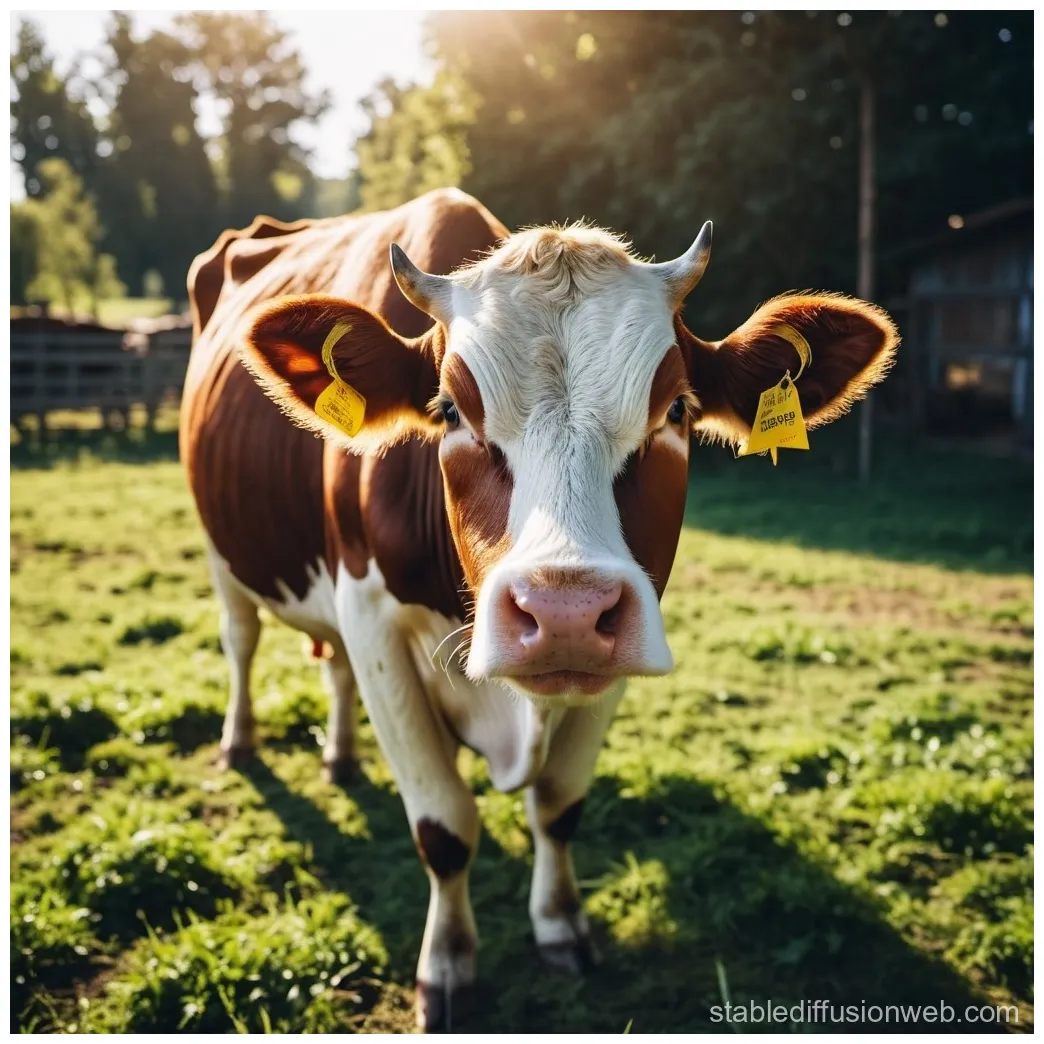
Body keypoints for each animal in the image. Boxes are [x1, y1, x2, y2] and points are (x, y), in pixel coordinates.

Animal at [181, 188, 898, 1030]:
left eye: (676, 410)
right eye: (449, 410)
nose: (563, 612)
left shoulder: (625, 634)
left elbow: (558, 806)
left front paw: (560, 926)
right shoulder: (373, 620)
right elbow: (444, 828)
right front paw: (447, 968)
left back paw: (342, 755)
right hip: (222, 551)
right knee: (241, 641)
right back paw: (239, 740)